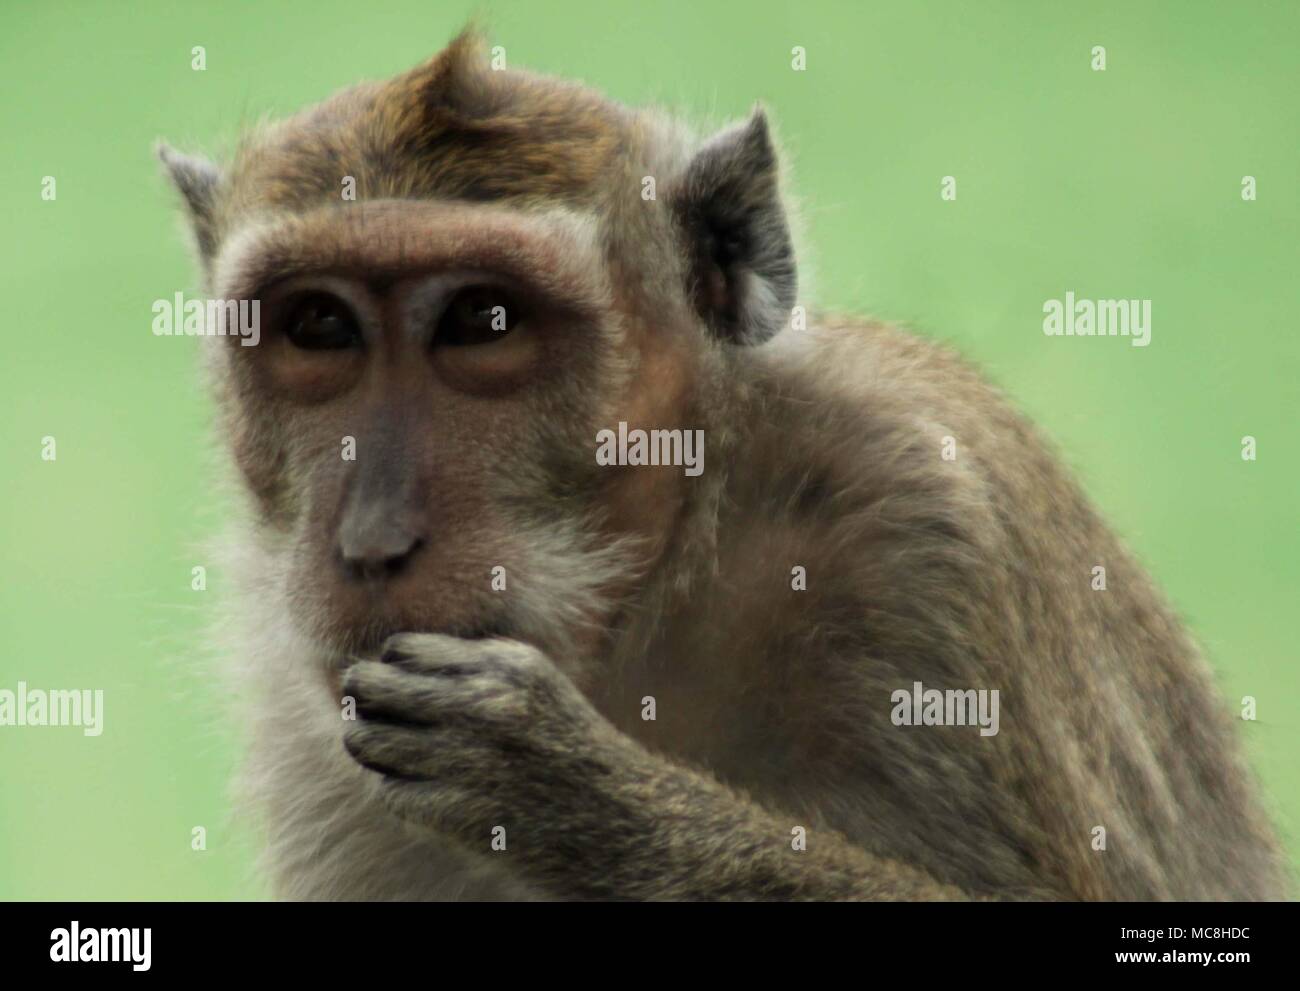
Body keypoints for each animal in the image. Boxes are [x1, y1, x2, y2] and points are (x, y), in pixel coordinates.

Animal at [159, 30, 1287, 901]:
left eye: (484, 321)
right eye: (319, 325)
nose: (373, 539)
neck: (656, 572)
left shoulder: (921, 526)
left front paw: (579, 794)